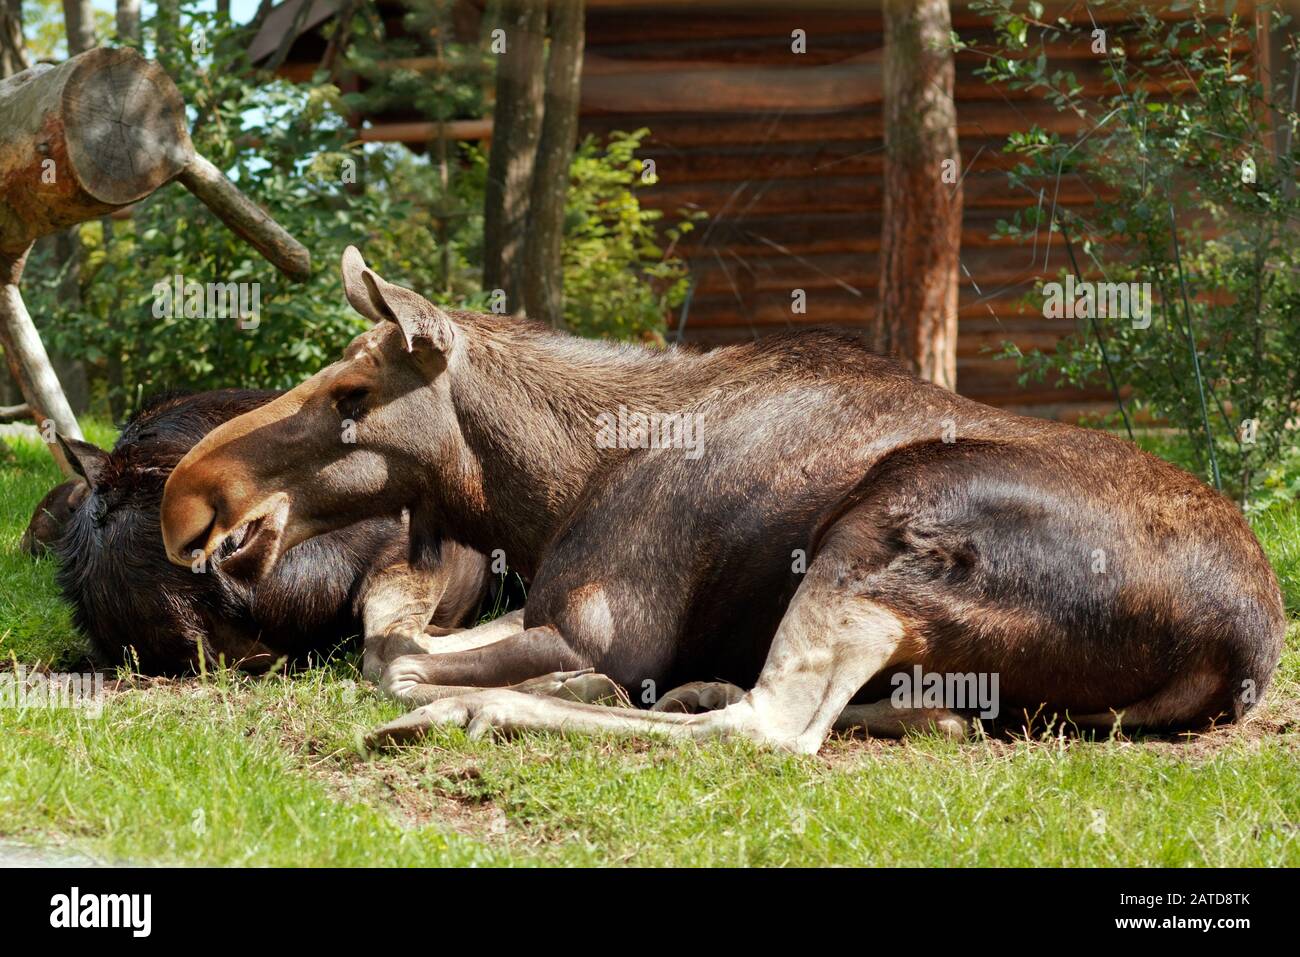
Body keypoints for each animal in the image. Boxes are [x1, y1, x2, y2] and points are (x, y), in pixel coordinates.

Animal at [157, 247, 1286, 754]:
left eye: (352, 394)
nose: (186, 502)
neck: (547, 485)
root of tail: (1241, 650)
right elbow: (389, 635)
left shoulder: (606, 625)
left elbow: (389, 659)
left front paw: (489, 689)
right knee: (934, 719)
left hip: (887, 521)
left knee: (771, 728)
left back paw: (481, 710)